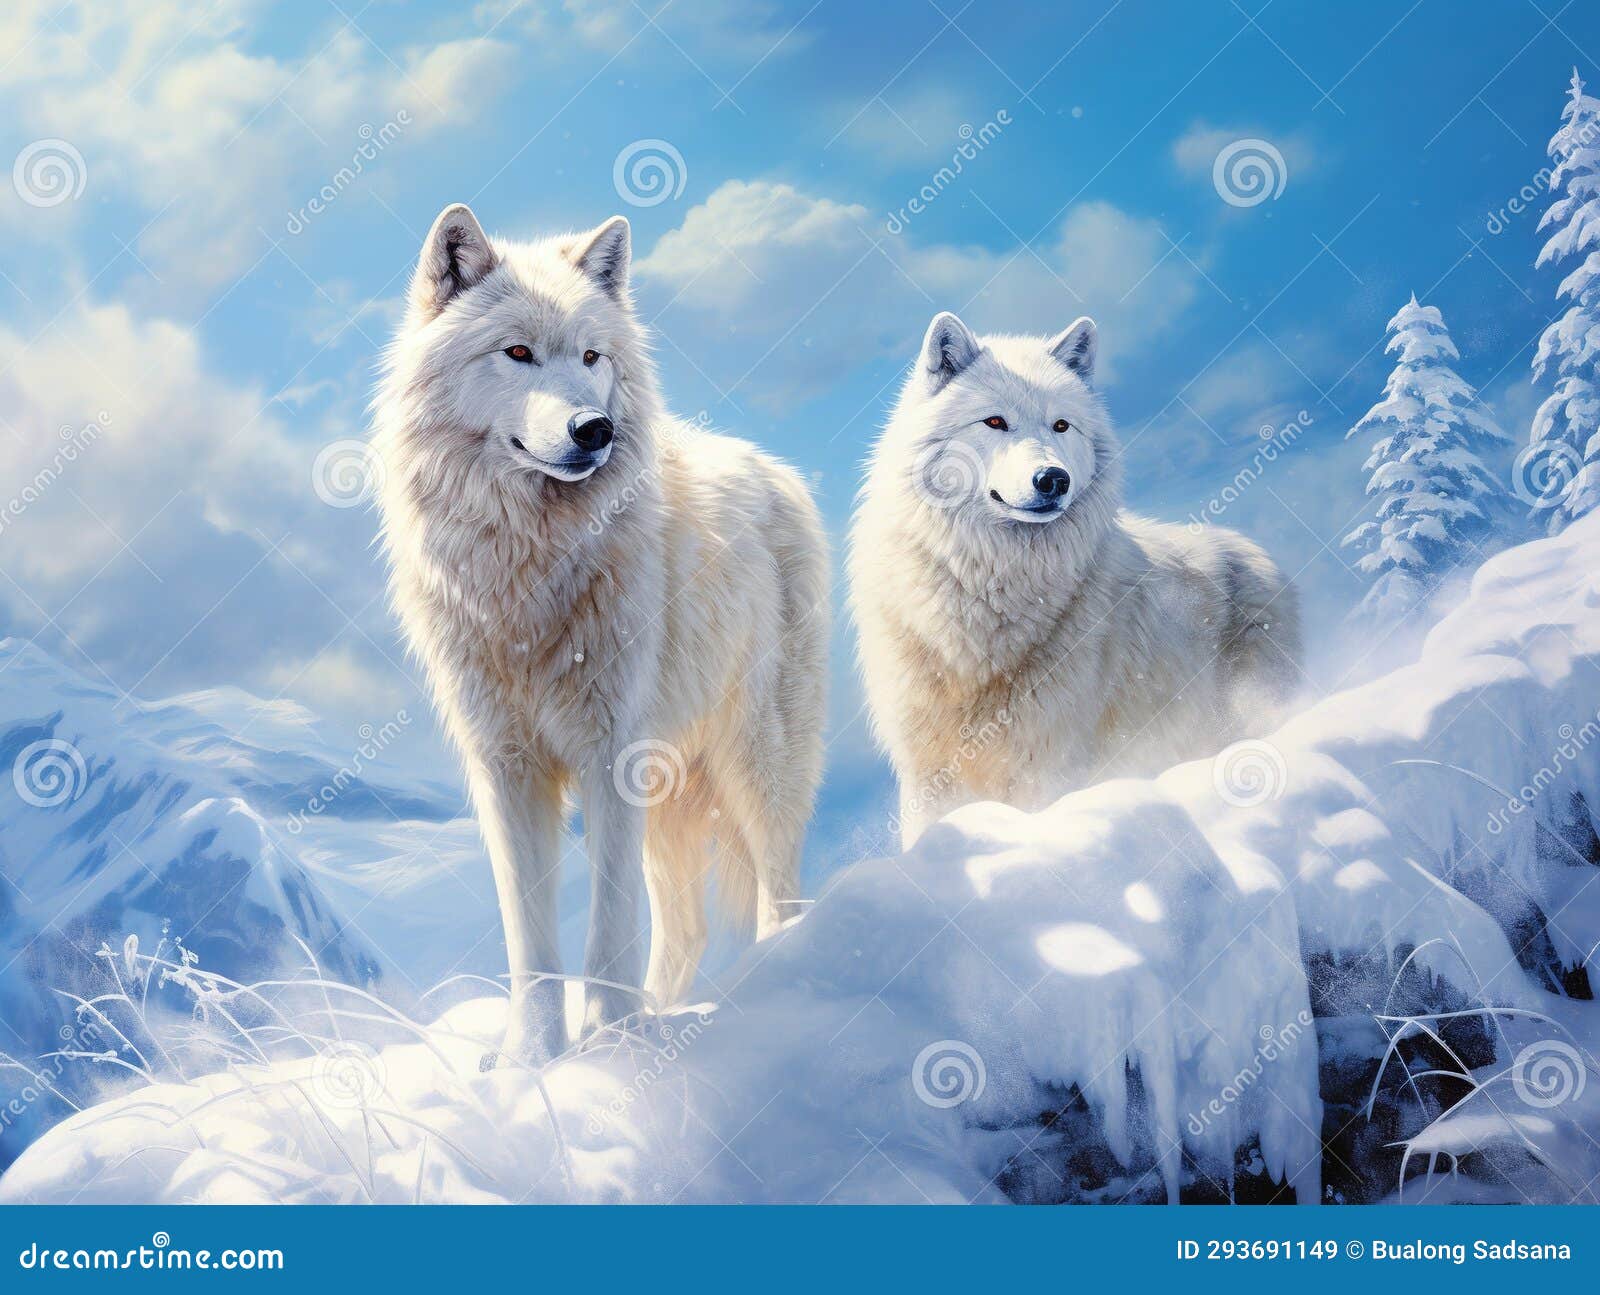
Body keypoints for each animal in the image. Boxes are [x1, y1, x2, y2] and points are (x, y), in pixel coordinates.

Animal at [373, 205, 828, 1063]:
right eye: (518, 352)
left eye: (592, 356)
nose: (596, 428)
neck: (528, 572)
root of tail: (773, 467)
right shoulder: (506, 768)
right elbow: (530, 938)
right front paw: (534, 1059)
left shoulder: (611, 752)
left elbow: (609, 923)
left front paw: (611, 1045)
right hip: (675, 792)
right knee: (686, 927)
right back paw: (669, 1012)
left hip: (757, 759)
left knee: (779, 893)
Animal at [849, 311, 1301, 849]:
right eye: (995, 422)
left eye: (1061, 425)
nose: (1054, 479)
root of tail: (1255, 552)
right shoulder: (927, 773)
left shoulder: (1049, 762)